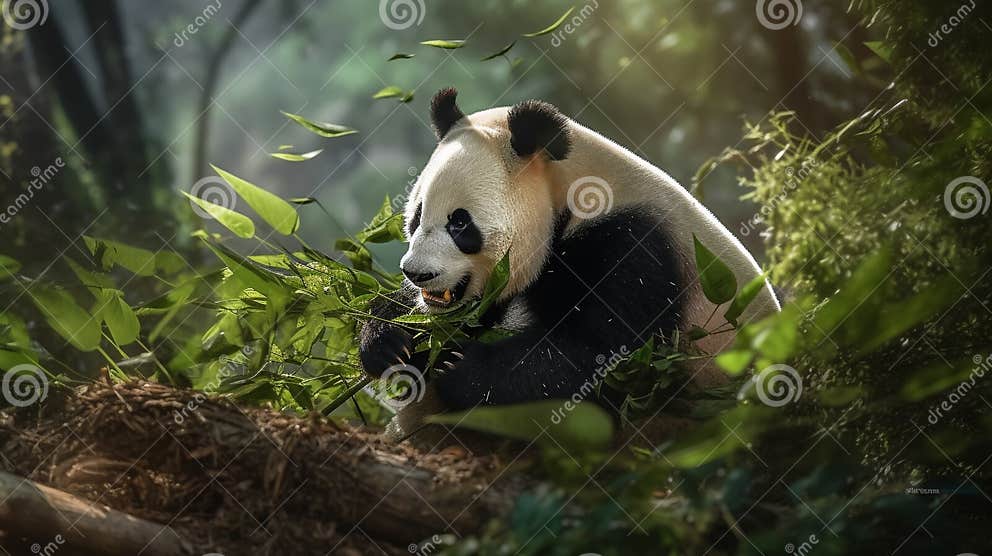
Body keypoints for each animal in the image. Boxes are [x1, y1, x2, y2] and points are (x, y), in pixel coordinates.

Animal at [359, 88, 780, 439]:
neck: (574, 193)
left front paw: (461, 368)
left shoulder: (635, 247)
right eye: (416, 216)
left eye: (459, 223)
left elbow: (604, 358)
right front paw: (389, 341)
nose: (417, 272)